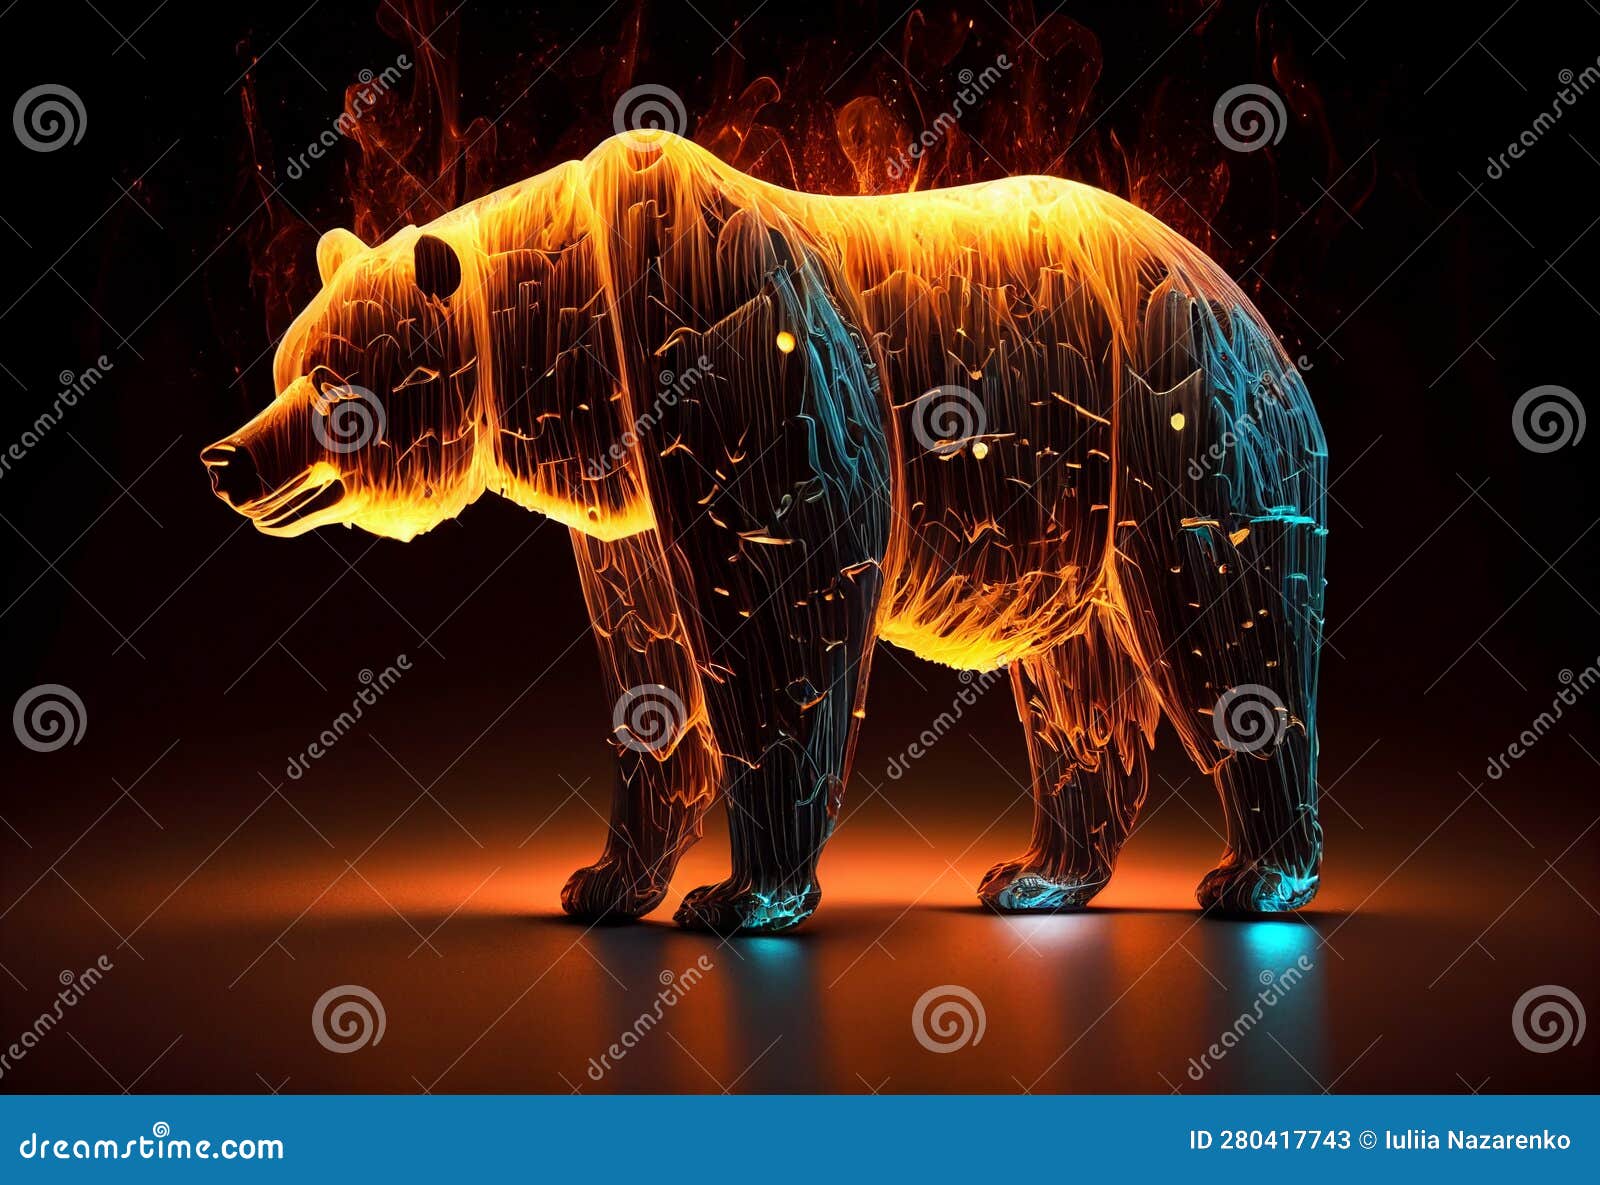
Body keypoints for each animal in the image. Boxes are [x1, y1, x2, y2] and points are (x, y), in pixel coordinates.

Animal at [202, 131, 1327, 933]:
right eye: (283, 364)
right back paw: (1038, 874)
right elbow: (651, 665)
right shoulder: (629, 510)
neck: (572, 361)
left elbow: (783, 613)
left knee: (1228, 637)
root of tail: (1238, 294)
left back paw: (1254, 876)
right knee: (1080, 683)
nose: (226, 458)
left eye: (328, 379)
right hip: (1068, 513)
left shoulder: (734, 349)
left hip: (1185, 429)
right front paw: (605, 879)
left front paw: (739, 894)